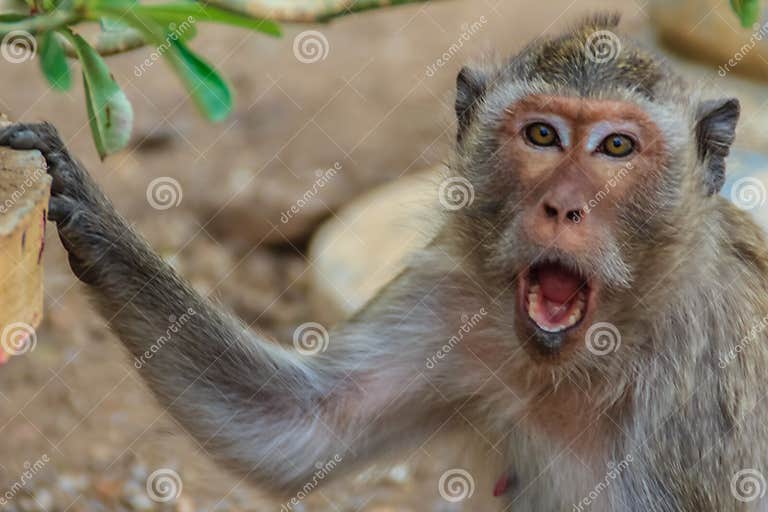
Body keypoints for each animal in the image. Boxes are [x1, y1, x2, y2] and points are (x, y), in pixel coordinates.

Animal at [3, 11, 768, 511]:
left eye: (616, 148)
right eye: (543, 136)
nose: (563, 207)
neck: (595, 349)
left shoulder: (706, 372)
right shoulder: (452, 300)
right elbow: (306, 424)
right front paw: (84, 205)